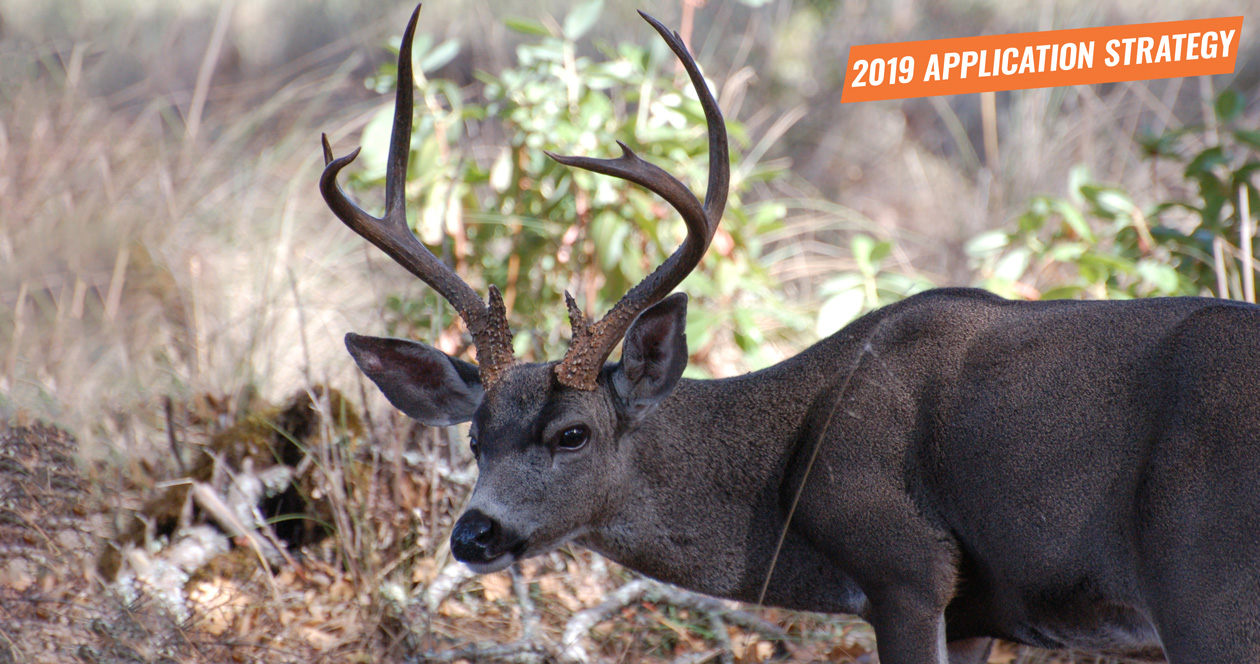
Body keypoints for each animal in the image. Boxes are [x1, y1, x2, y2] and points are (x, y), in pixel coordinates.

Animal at [319, 5, 1260, 663]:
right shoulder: (977, 611)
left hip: (1202, 577)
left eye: (572, 433)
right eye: (474, 437)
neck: (783, 484)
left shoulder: (907, 567)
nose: (473, 535)